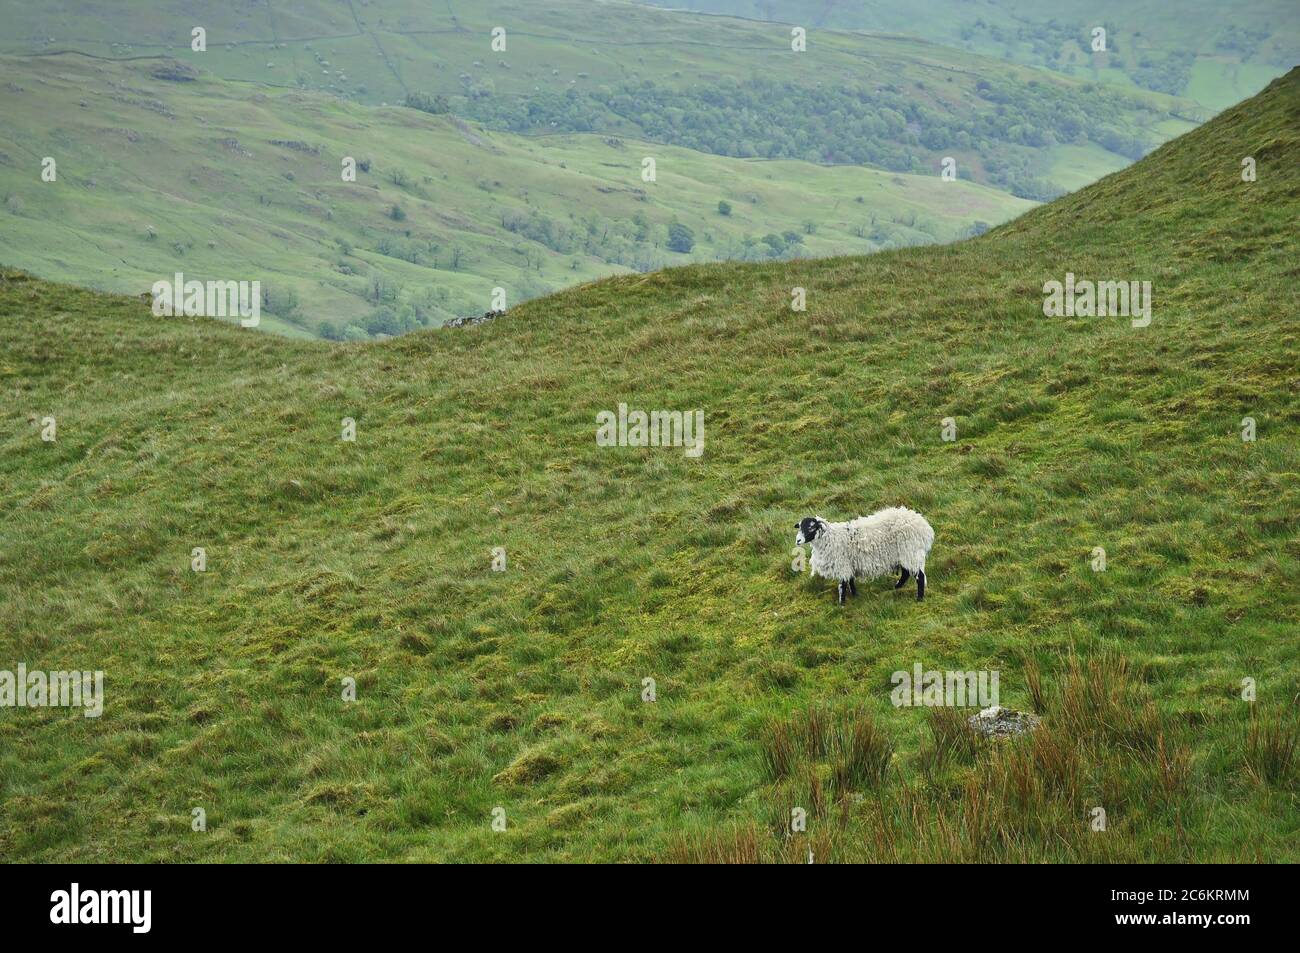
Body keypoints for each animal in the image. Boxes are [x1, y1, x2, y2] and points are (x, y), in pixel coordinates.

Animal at [794, 507, 934, 606]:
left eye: (811, 527)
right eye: (799, 527)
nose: (798, 541)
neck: (830, 538)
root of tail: (924, 525)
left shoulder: (843, 564)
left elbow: (842, 585)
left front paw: (841, 604)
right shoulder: (850, 563)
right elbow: (850, 581)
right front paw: (855, 596)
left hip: (910, 551)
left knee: (919, 576)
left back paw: (919, 598)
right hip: (904, 554)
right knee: (906, 573)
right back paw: (896, 587)